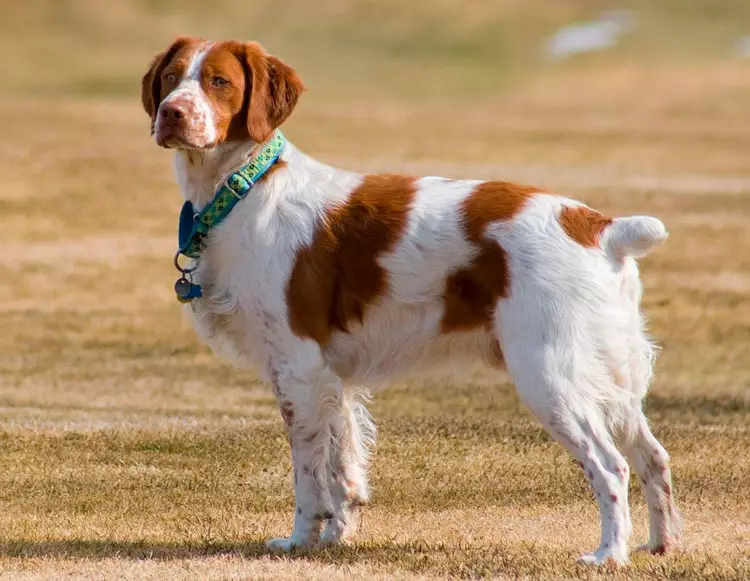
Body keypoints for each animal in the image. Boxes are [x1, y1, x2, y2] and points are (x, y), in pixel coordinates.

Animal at [144, 36, 684, 560]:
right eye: (171, 78)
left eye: (219, 82)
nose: (171, 113)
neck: (244, 189)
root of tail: (600, 226)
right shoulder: (332, 378)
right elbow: (343, 467)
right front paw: (336, 537)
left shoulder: (296, 368)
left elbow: (310, 474)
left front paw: (300, 541)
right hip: (608, 376)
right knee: (653, 455)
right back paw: (660, 545)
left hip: (550, 375)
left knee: (612, 466)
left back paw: (609, 554)